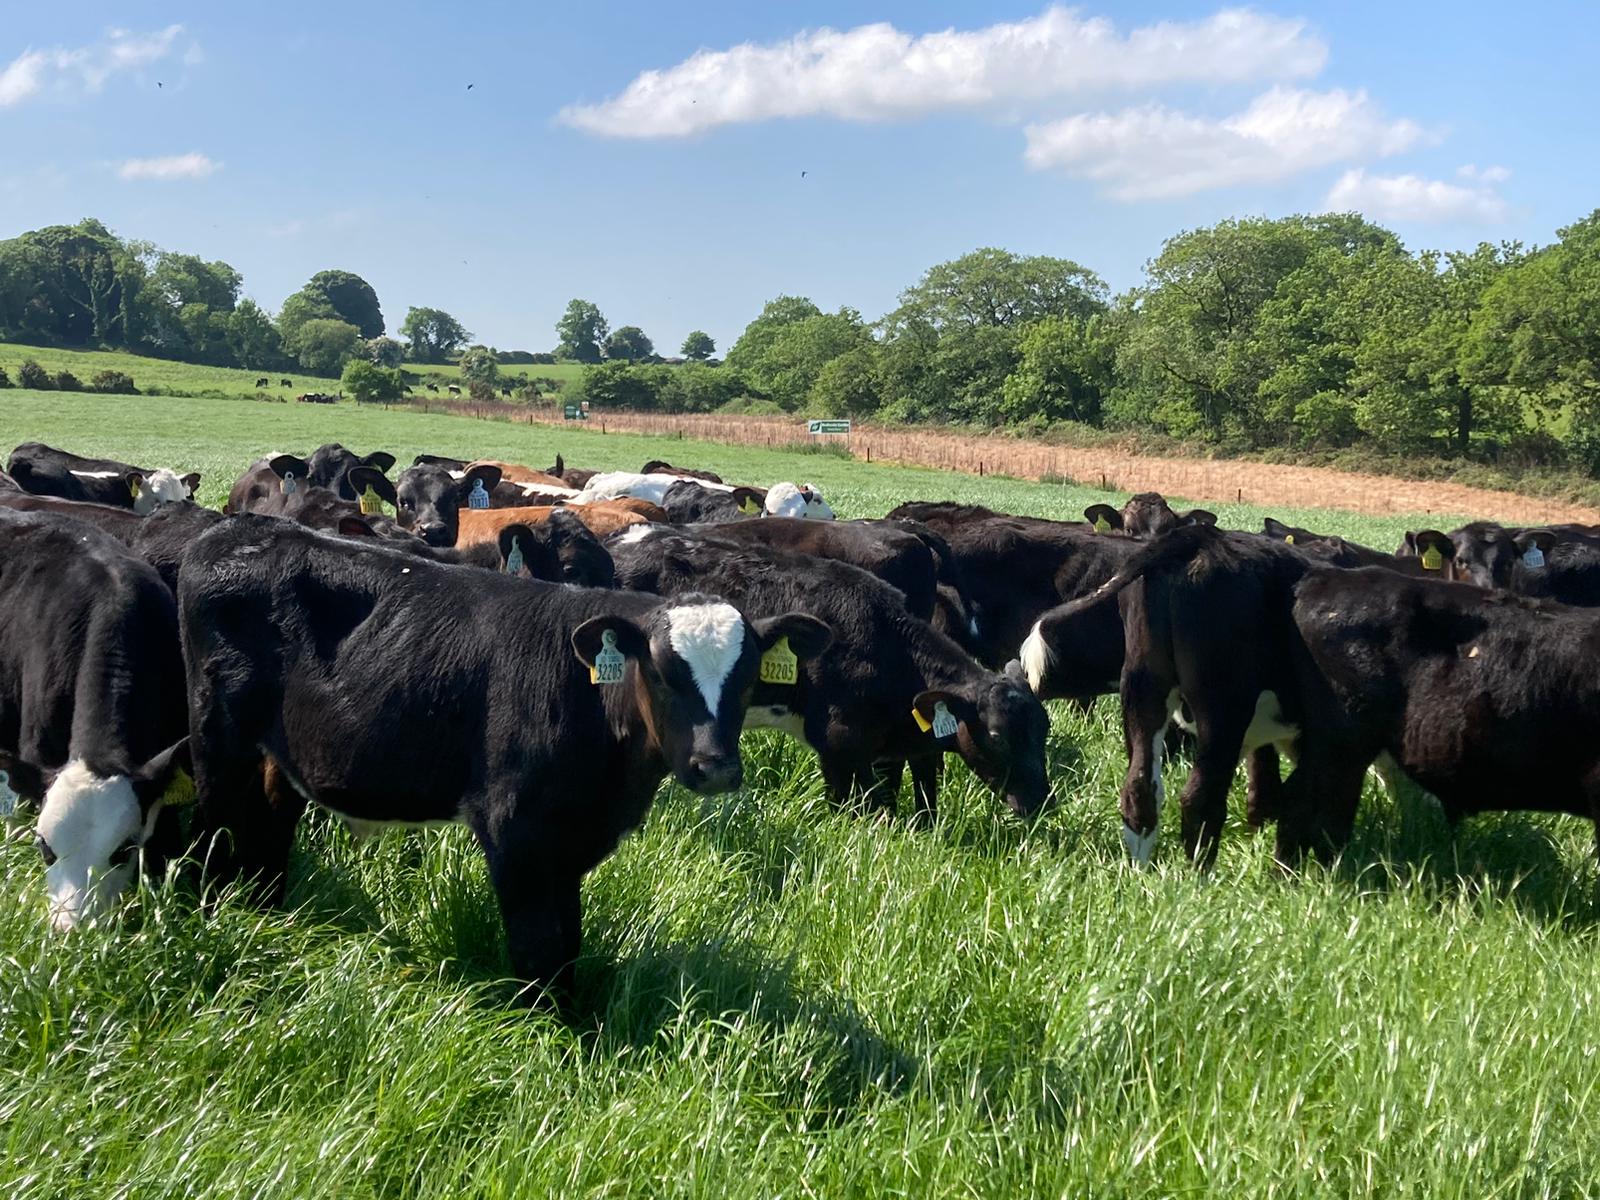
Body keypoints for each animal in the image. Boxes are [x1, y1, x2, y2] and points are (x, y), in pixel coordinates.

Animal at [177, 515, 829, 999]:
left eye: (747, 680)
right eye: (665, 674)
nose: (715, 767)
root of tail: (234, 529)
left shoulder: (570, 838)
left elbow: (568, 943)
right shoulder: (512, 830)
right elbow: (537, 947)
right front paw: (544, 1041)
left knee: (271, 820)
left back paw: (270, 912)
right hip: (216, 734)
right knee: (215, 825)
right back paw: (215, 917)